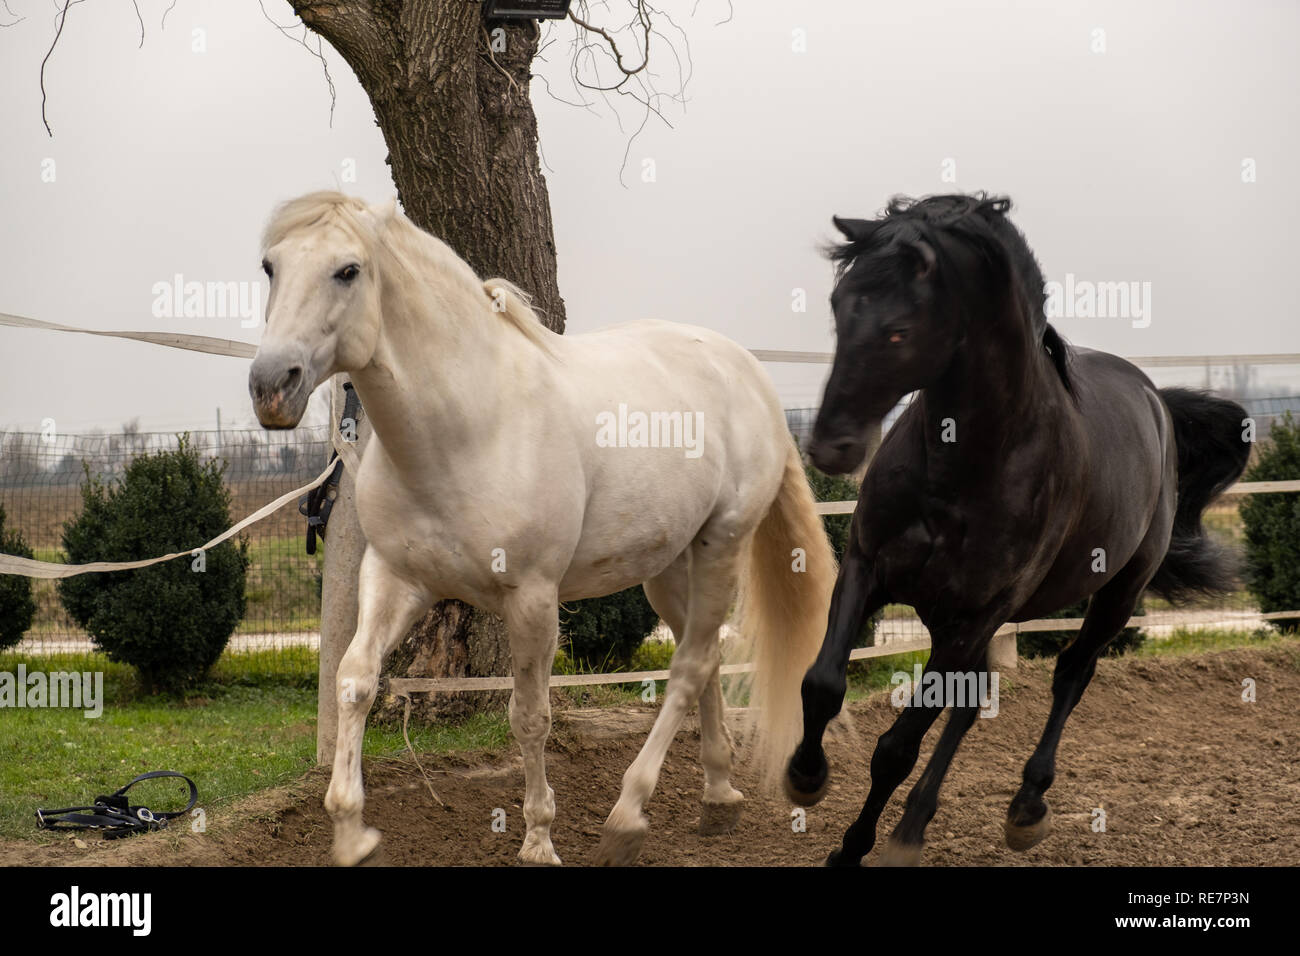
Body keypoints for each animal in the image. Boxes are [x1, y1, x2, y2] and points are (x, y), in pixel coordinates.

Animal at [247, 192, 836, 866]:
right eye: (270, 266)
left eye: (348, 270)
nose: (271, 385)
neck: (470, 427)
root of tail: (749, 375)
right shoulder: (395, 578)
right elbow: (355, 681)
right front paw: (352, 834)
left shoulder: (531, 597)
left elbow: (529, 715)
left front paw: (537, 840)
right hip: (668, 566)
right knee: (706, 652)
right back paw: (719, 797)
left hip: (722, 544)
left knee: (688, 666)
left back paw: (627, 818)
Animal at [785, 193, 1250, 866]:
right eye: (839, 307)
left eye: (899, 330)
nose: (828, 445)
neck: (963, 464)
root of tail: (1155, 401)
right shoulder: (868, 568)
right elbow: (823, 683)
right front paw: (806, 778)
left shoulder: (979, 613)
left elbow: (897, 746)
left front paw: (852, 849)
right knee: (970, 704)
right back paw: (913, 826)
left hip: (1116, 595)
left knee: (1071, 675)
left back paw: (1025, 808)